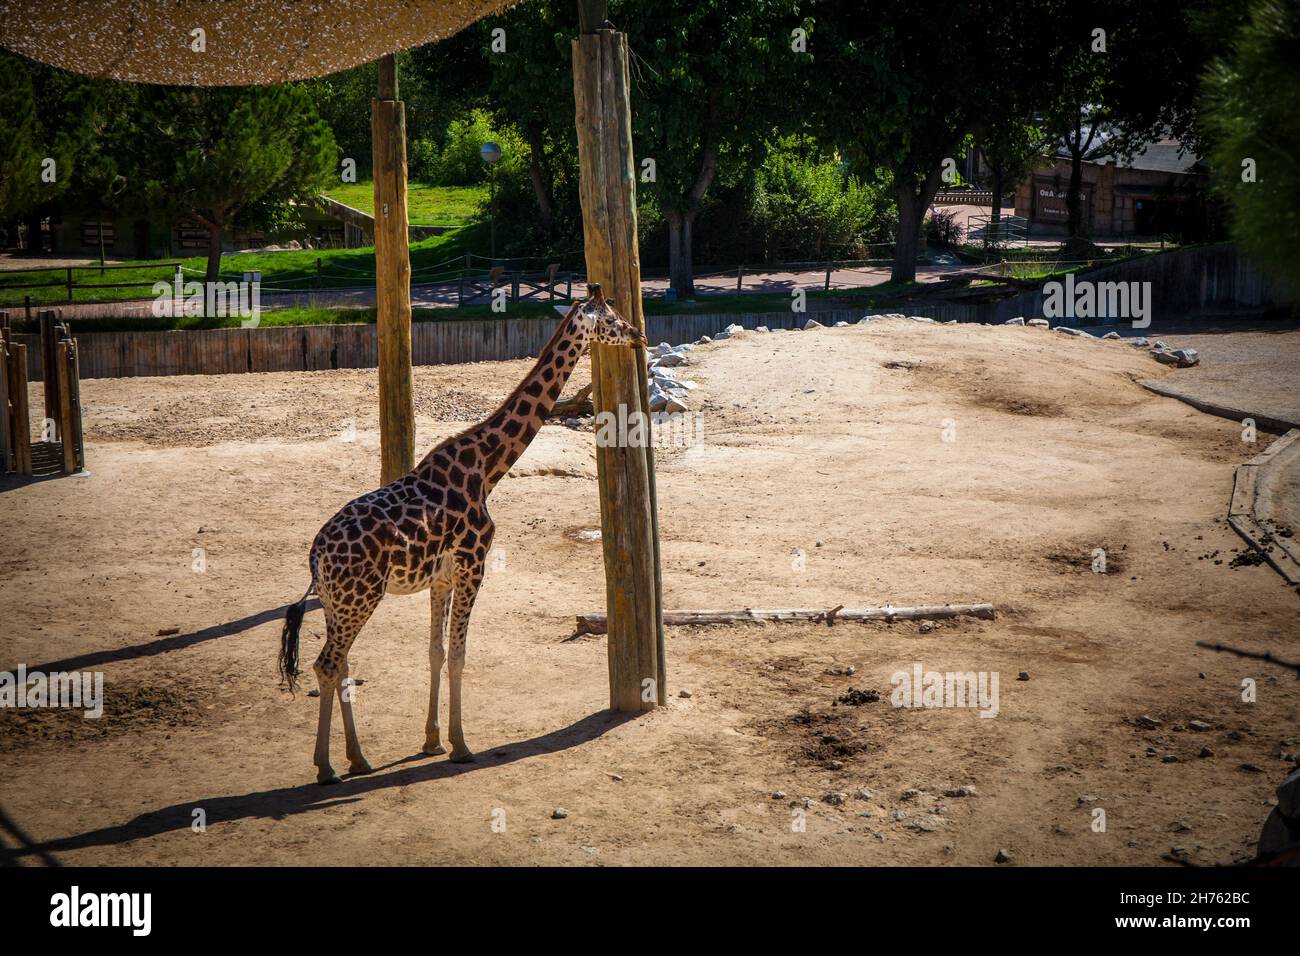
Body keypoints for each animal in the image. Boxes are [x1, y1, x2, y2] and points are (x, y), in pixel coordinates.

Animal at [278, 285, 646, 784]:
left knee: (341, 665)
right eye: (611, 318)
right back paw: (326, 768)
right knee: (328, 664)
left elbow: (435, 652)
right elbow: (458, 654)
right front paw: (460, 745)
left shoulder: (442, 578)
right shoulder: (475, 566)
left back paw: (358, 758)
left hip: (339, 603)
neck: (486, 469)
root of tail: (316, 554)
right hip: (359, 599)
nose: (638, 335)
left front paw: (432, 740)